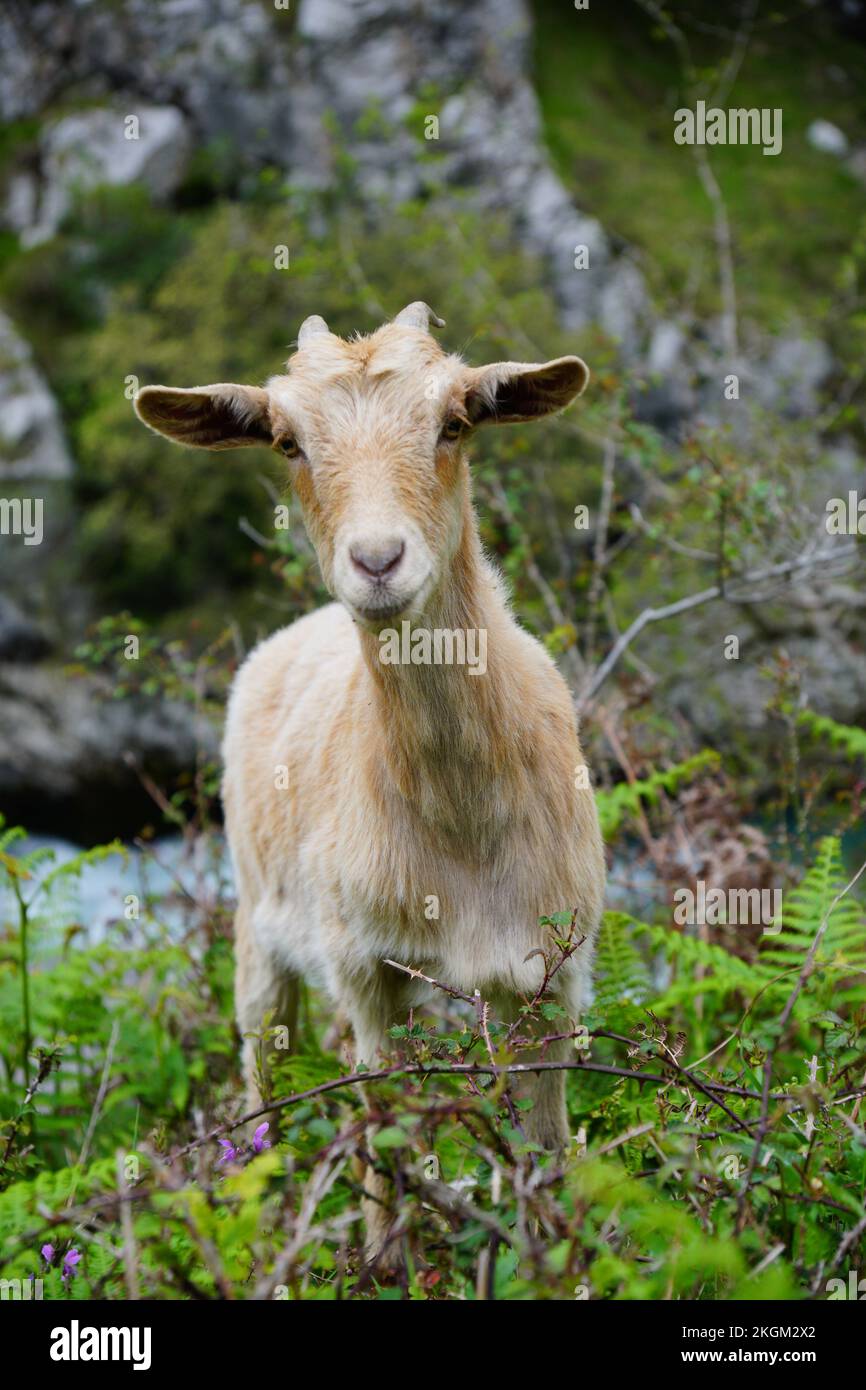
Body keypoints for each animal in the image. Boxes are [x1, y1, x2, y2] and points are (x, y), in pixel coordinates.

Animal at [134, 302, 606, 1256]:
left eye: (455, 422)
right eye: (286, 442)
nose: (379, 561)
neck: (462, 828)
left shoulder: (552, 974)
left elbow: (545, 1158)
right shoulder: (363, 965)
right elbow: (381, 1139)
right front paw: (384, 1260)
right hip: (257, 930)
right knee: (265, 1081)